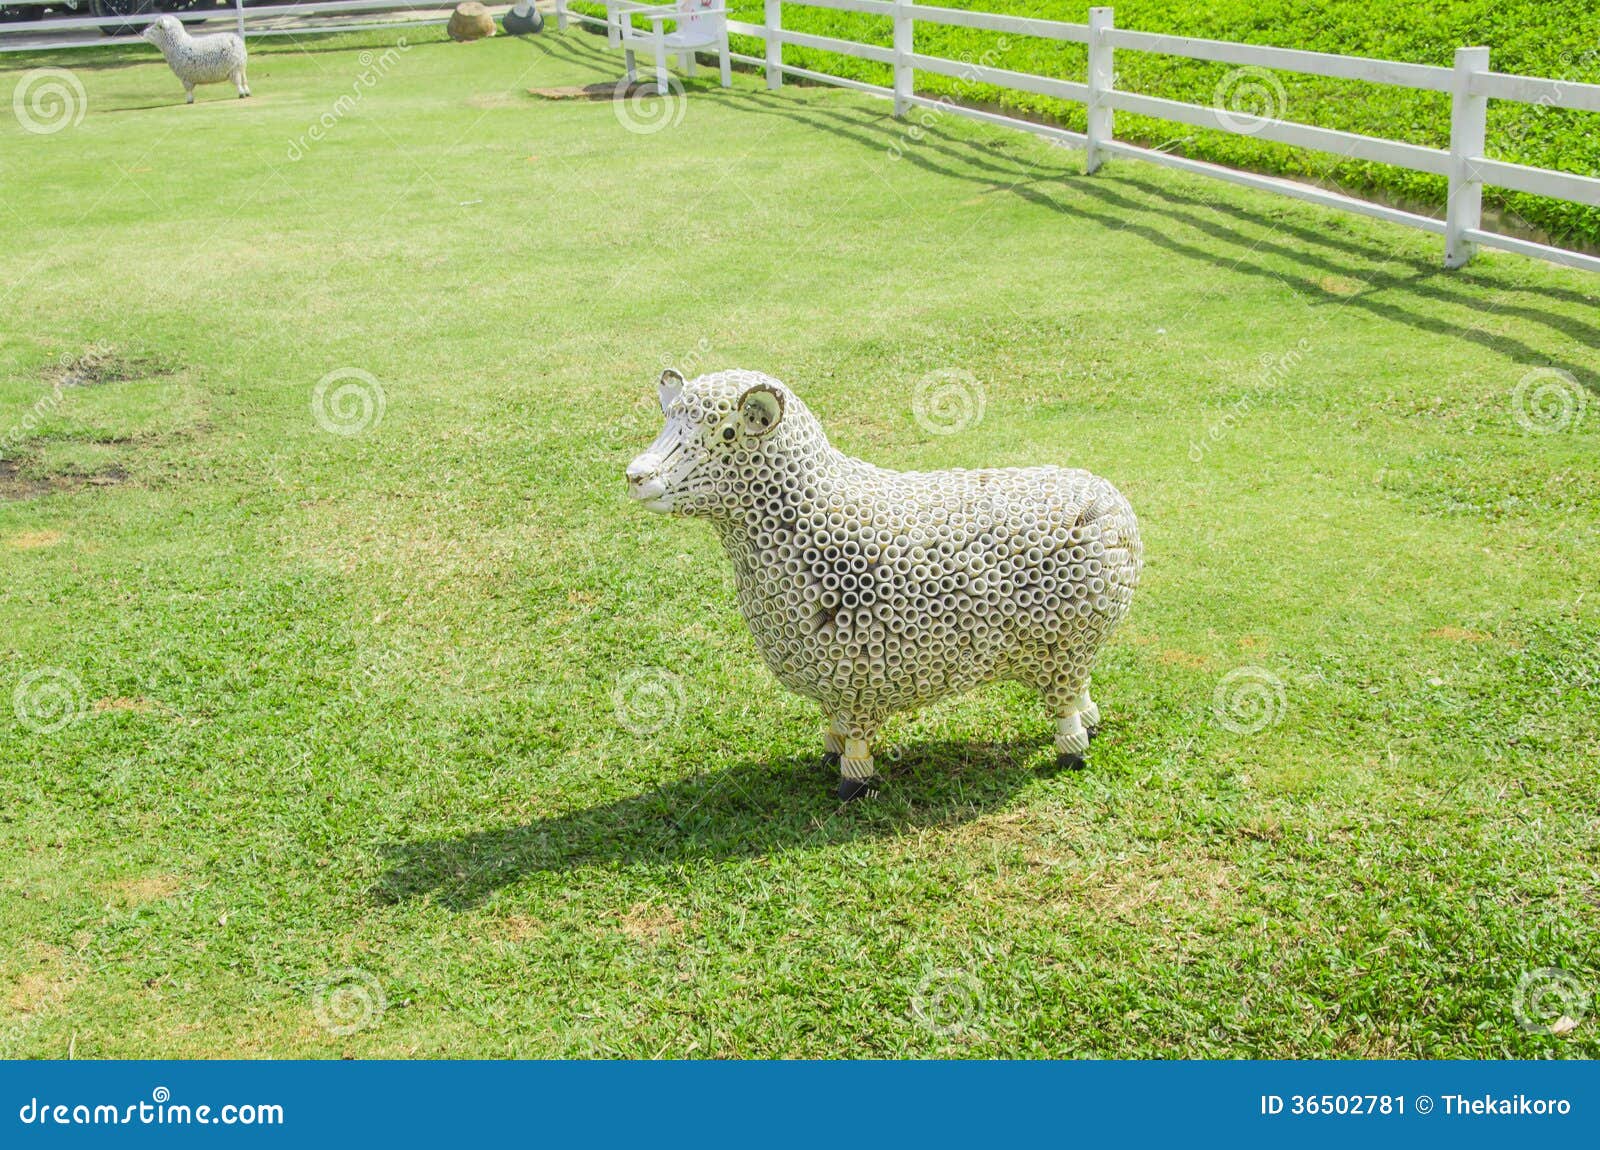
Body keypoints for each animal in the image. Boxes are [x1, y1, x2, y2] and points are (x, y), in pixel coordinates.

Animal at [625, 368, 1143, 800]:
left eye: (728, 432)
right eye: (668, 419)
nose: (637, 476)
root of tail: (1109, 498)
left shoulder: (860, 685)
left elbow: (857, 741)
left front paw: (852, 785)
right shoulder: (837, 685)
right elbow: (834, 725)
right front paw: (829, 752)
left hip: (1067, 646)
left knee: (1065, 701)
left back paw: (1073, 748)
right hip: (1071, 650)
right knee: (1081, 690)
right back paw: (1092, 724)